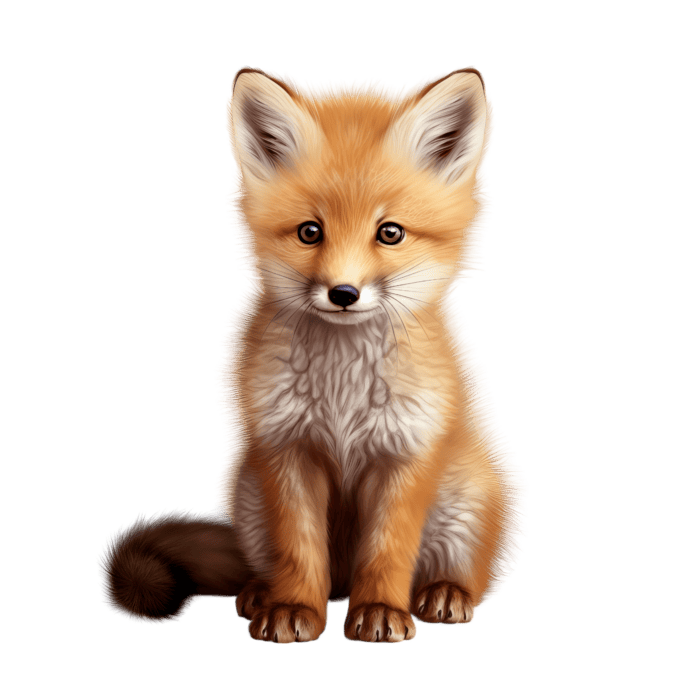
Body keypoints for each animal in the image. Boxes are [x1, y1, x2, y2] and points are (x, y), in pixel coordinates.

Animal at [97, 65, 528, 644]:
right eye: (310, 232)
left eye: (389, 232)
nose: (343, 293)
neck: (343, 389)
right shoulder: (289, 449)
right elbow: (299, 550)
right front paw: (294, 609)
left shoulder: (404, 453)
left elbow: (388, 551)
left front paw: (381, 611)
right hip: (253, 500)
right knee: (283, 565)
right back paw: (262, 593)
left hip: (467, 502)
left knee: (457, 570)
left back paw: (444, 594)